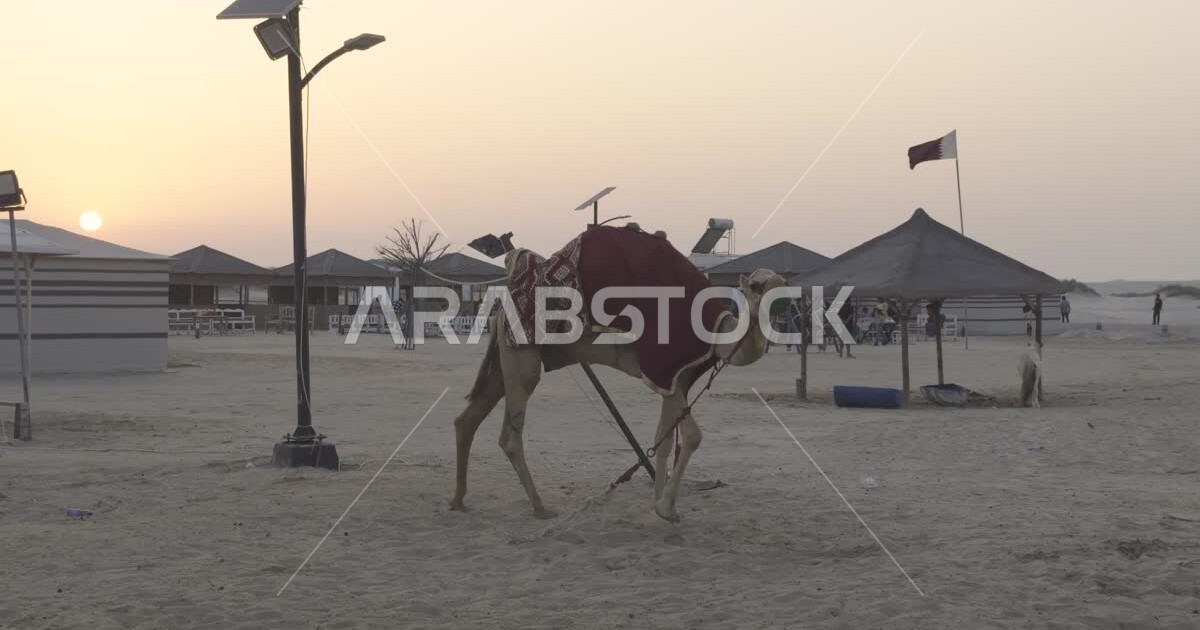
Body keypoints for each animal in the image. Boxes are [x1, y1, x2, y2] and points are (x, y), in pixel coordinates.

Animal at [449, 268, 785, 522]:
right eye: (756, 285)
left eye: (780, 281)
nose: (780, 293)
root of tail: (500, 312)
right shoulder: (669, 373)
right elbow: (691, 436)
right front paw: (666, 508)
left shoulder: (675, 380)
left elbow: (664, 438)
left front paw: (659, 503)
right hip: (524, 358)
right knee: (510, 434)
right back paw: (541, 507)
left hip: (504, 363)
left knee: (468, 418)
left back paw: (458, 500)